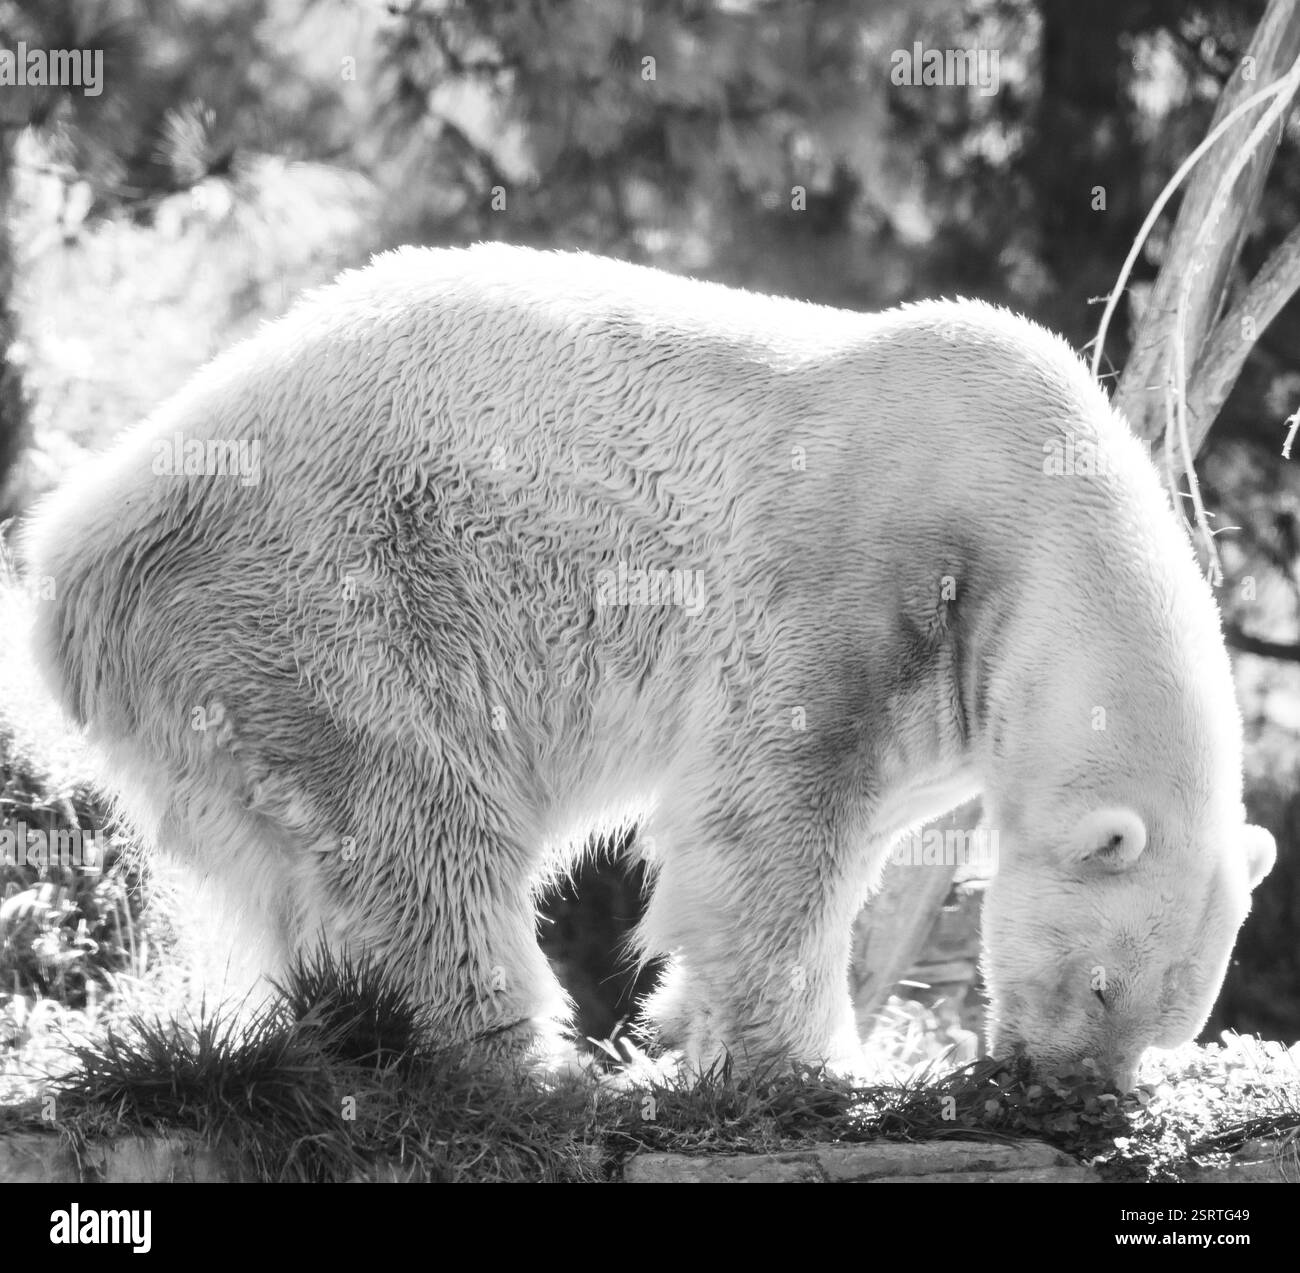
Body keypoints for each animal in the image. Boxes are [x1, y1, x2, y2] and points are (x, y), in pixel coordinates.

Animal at [22, 242, 1275, 1088]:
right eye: (1101, 984)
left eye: (1167, 1027)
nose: (1066, 1094)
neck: (1024, 498)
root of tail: (76, 553)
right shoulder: (856, 572)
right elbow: (776, 817)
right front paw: (811, 1063)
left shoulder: (951, 680)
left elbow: (871, 814)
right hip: (328, 591)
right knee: (417, 818)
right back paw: (519, 1051)